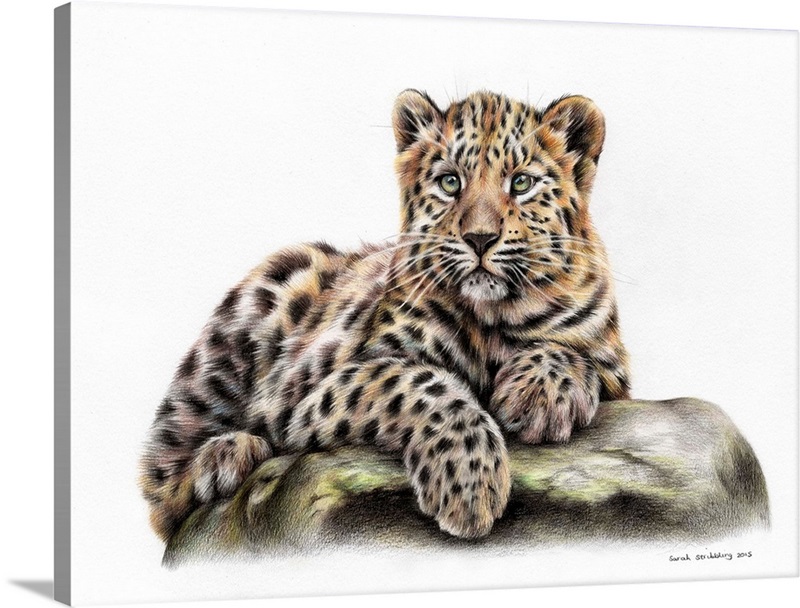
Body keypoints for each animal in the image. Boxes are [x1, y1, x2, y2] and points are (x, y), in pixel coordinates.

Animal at [140, 89, 631, 543]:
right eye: (449, 183)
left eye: (522, 183)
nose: (479, 239)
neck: (493, 316)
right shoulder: (319, 394)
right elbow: (419, 383)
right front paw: (469, 488)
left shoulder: (614, 372)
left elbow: (572, 352)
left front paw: (536, 397)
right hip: (262, 298)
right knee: (159, 480)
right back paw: (225, 455)